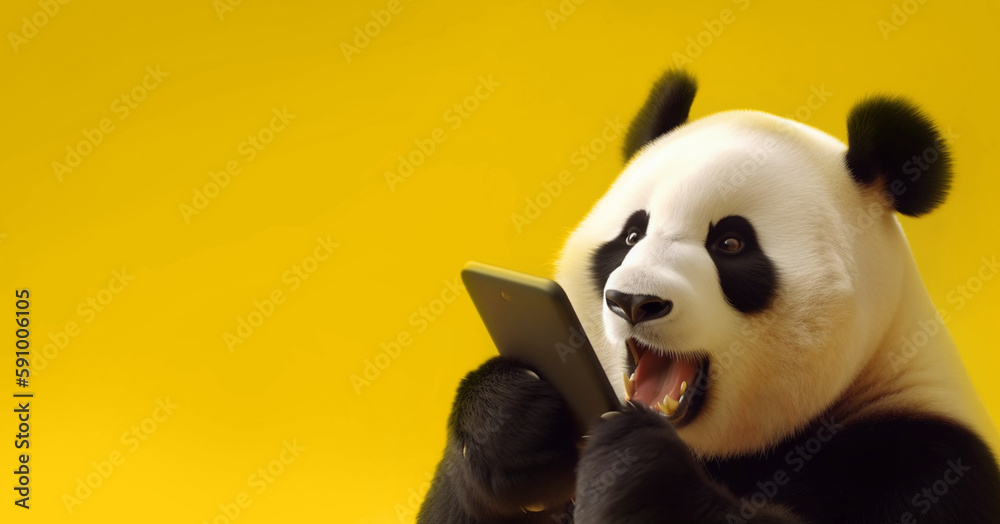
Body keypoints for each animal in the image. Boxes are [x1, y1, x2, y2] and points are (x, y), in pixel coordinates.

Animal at [418, 70, 1000, 523]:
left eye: (731, 244)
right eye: (631, 235)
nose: (634, 302)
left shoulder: (924, 459)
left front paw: (636, 467)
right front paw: (514, 425)